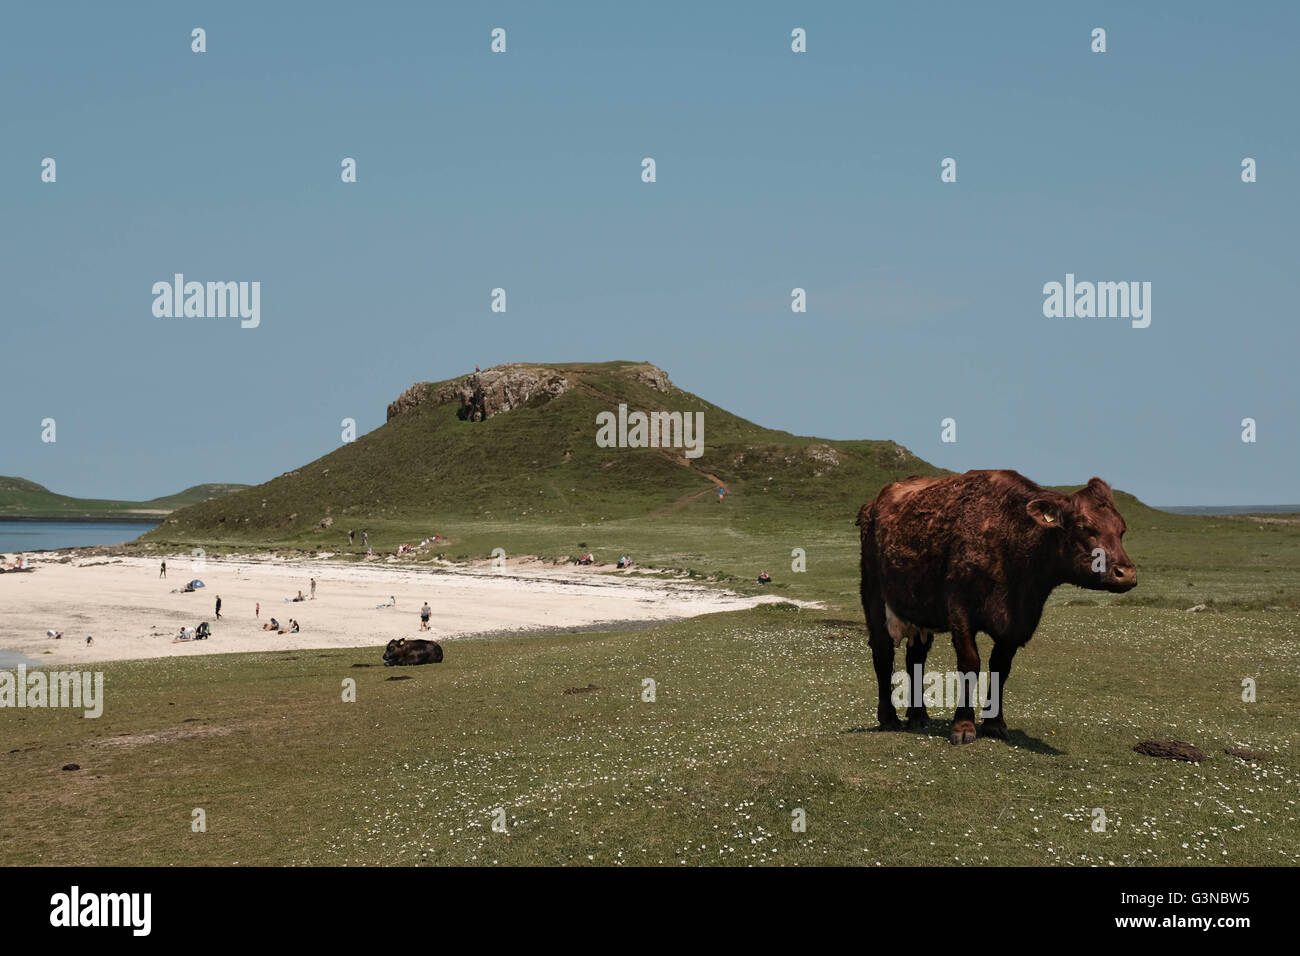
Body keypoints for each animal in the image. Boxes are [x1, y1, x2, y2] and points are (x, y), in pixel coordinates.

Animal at [857, 470, 1136, 745]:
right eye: (1084, 527)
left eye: (1122, 530)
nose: (1126, 573)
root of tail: (873, 504)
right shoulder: (960, 609)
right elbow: (970, 663)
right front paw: (964, 726)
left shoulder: (1016, 623)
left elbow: (1001, 667)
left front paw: (994, 724)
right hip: (874, 597)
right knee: (883, 655)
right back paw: (889, 718)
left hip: (920, 614)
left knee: (916, 658)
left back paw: (919, 716)